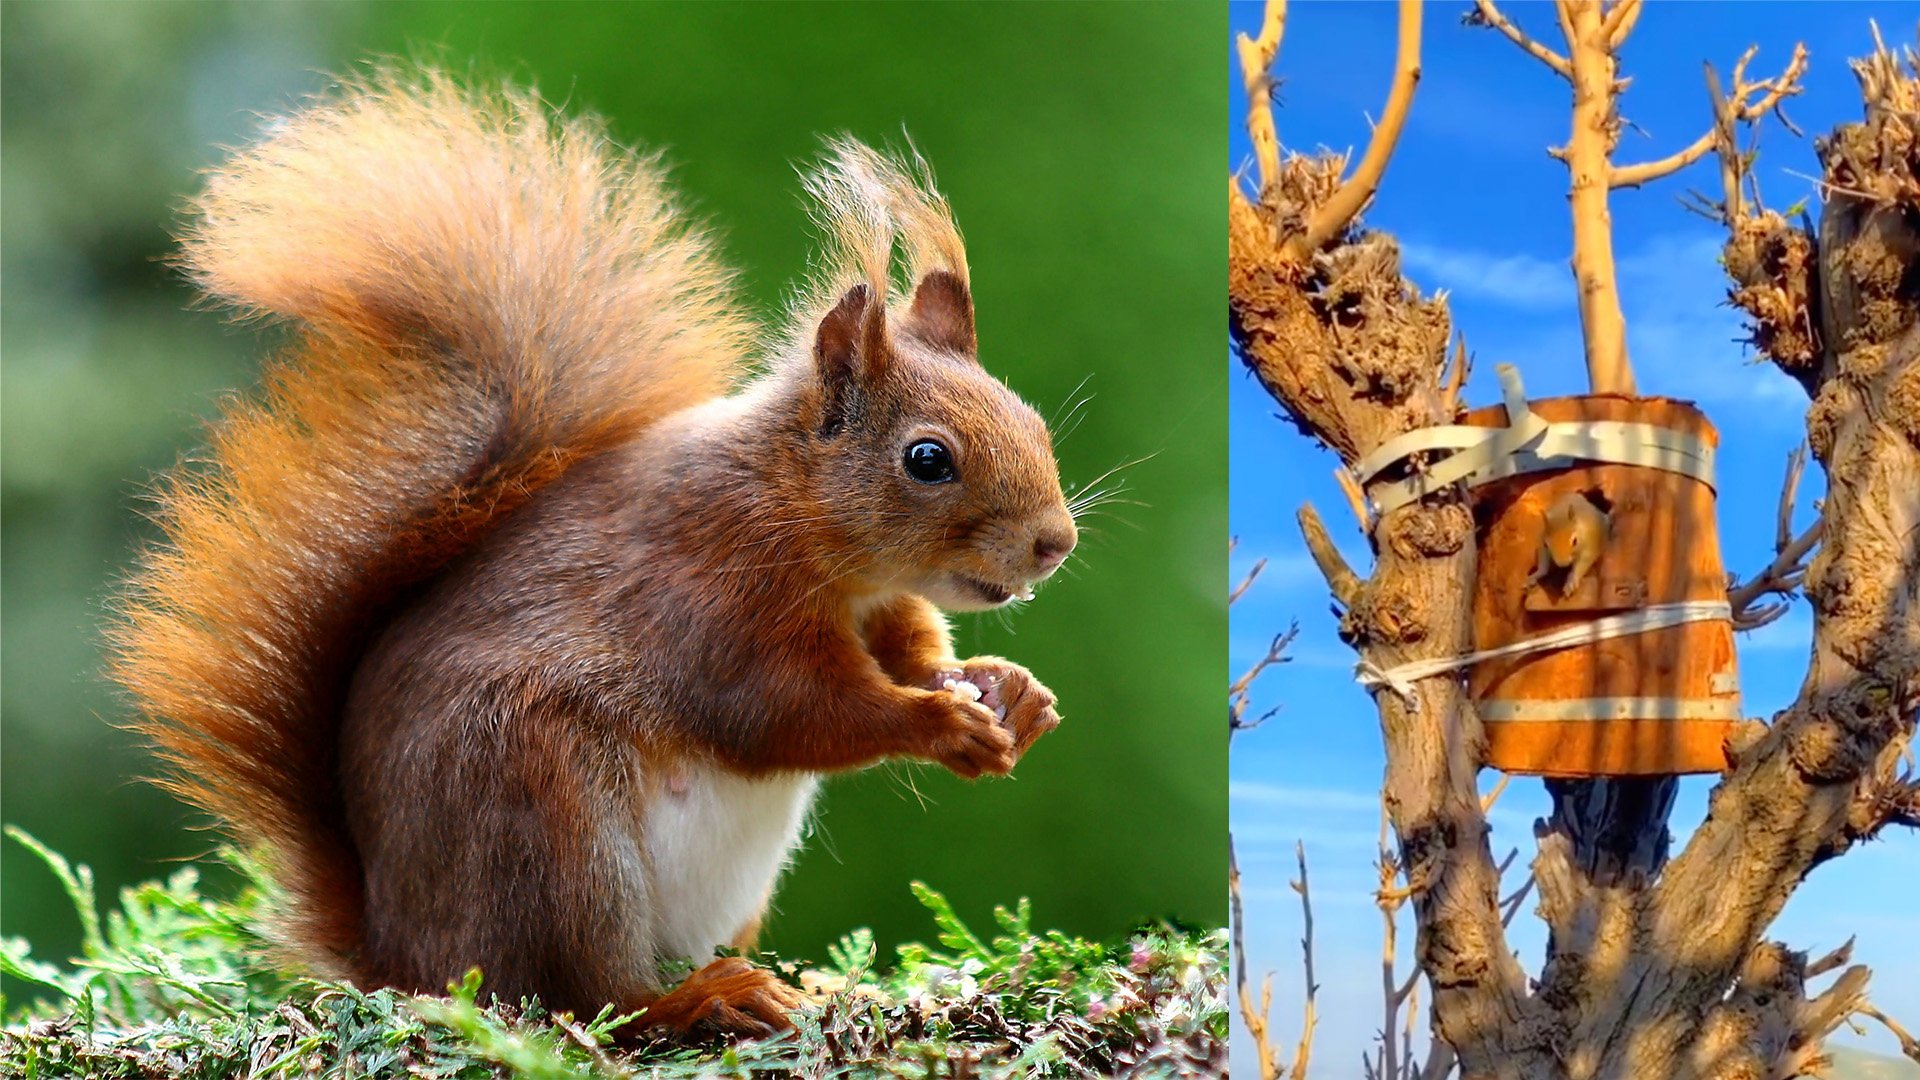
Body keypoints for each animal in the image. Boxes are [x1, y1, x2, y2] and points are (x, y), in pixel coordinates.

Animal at [109, 69, 1076, 1037]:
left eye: (1030, 420)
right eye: (928, 459)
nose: (1055, 543)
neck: (806, 524)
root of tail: (400, 956)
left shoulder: (881, 604)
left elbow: (912, 651)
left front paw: (1007, 690)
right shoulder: (712, 594)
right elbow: (789, 712)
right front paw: (940, 723)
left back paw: (816, 987)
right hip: (548, 820)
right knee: (584, 996)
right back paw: (704, 997)